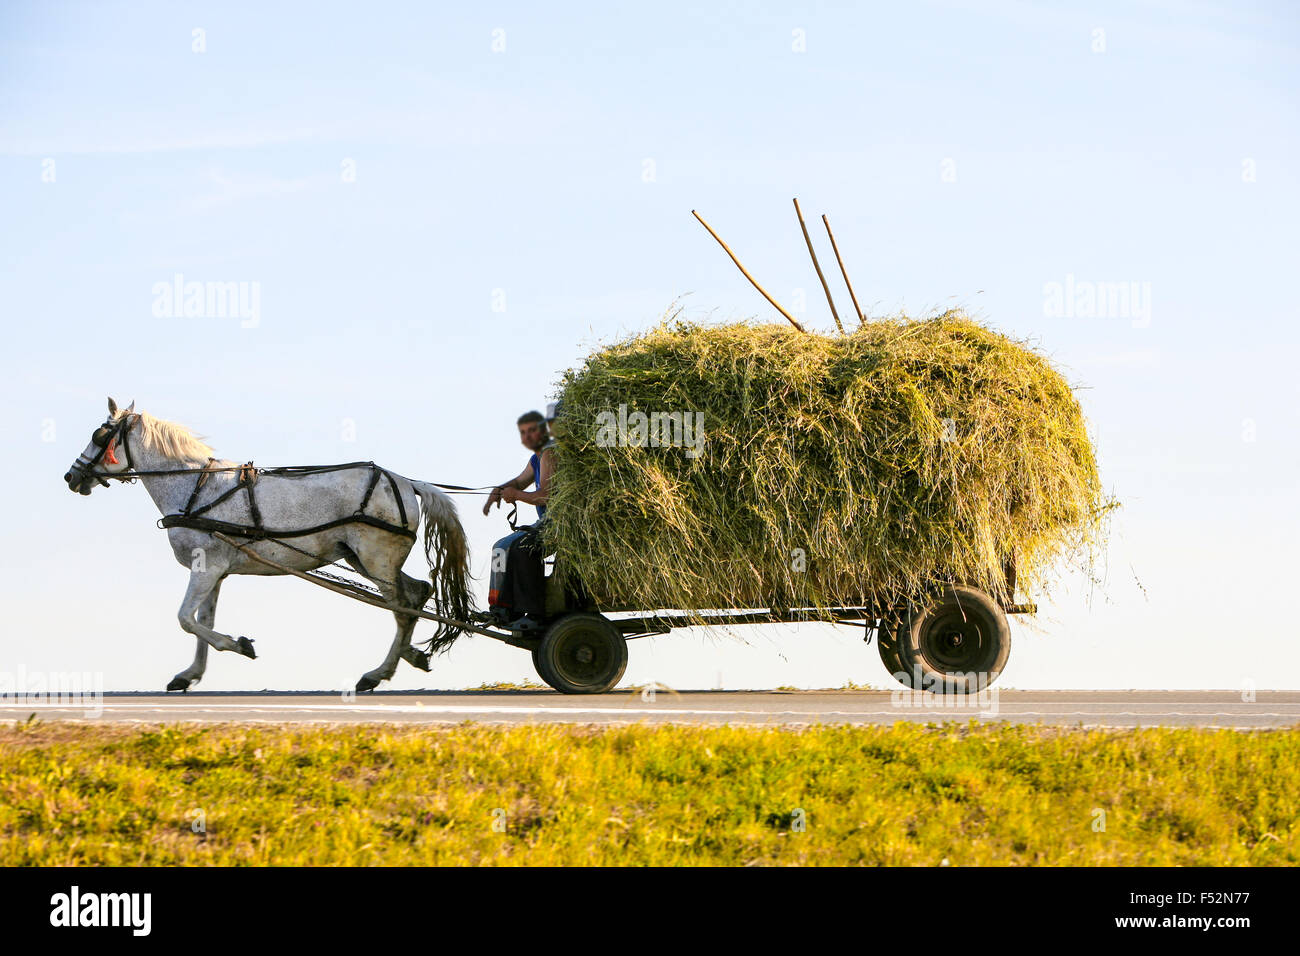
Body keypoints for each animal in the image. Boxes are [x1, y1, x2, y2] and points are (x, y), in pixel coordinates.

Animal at [64, 397, 474, 692]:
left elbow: (185, 619)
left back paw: (377, 673)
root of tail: (406, 482)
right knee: (416, 595)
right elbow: (202, 620)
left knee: (402, 609)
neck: (194, 487)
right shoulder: (215, 572)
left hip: (376, 560)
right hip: (364, 560)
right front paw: (191, 673)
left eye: (100, 436)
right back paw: (409, 655)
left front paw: (238, 645)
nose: (71, 476)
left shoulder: (206, 568)